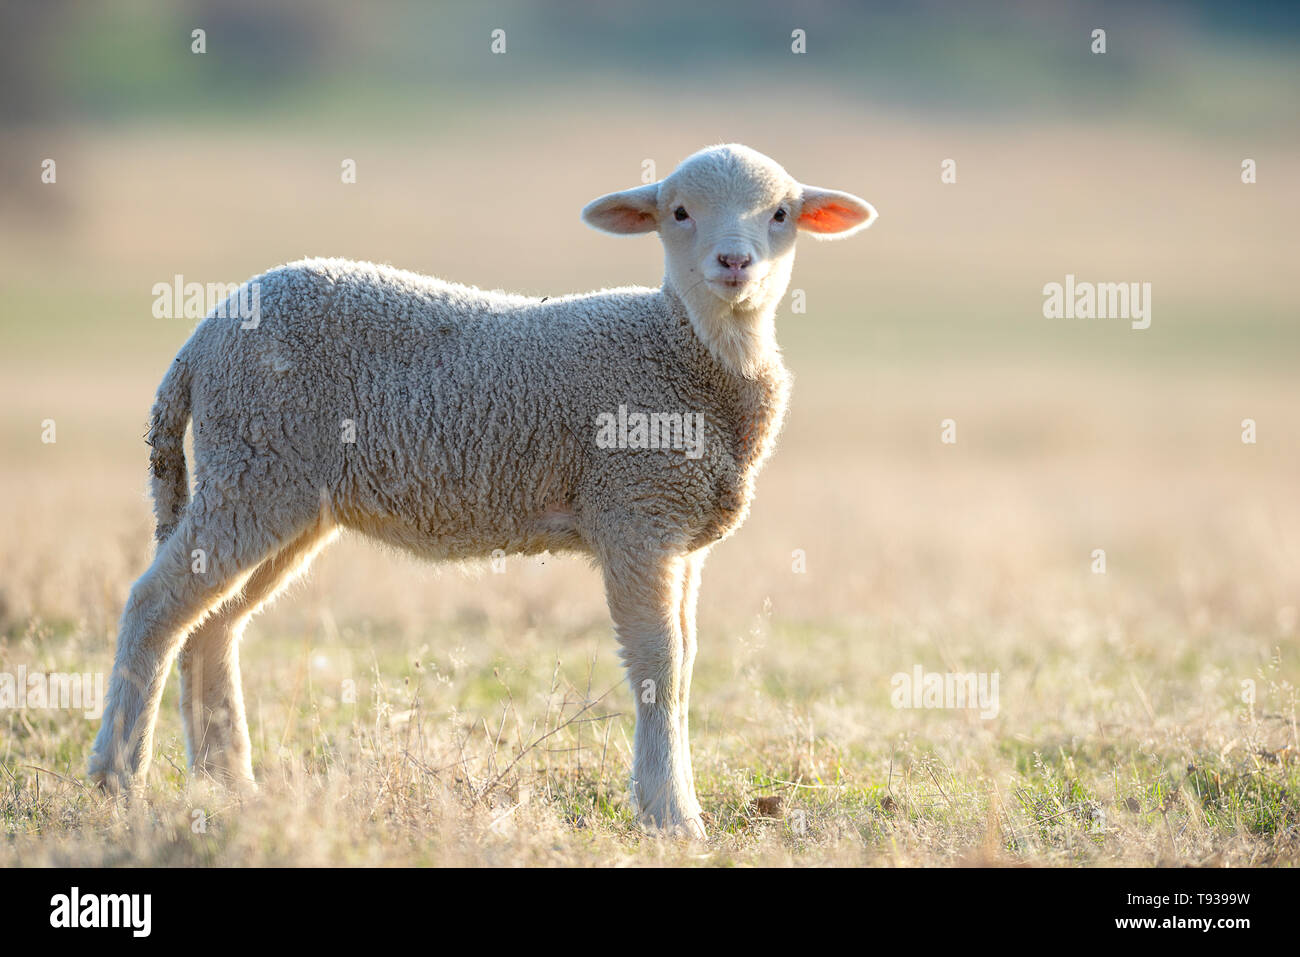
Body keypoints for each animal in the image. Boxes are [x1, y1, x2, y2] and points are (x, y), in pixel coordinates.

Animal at [88, 143, 876, 837]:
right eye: (678, 212)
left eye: (781, 213)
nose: (734, 263)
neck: (689, 349)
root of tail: (197, 342)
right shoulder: (635, 511)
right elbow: (660, 665)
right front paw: (672, 817)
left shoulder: (681, 533)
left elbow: (684, 658)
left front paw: (673, 805)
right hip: (255, 465)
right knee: (155, 604)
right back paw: (116, 780)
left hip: (282, 491)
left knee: (213, 623)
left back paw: (230, 786)